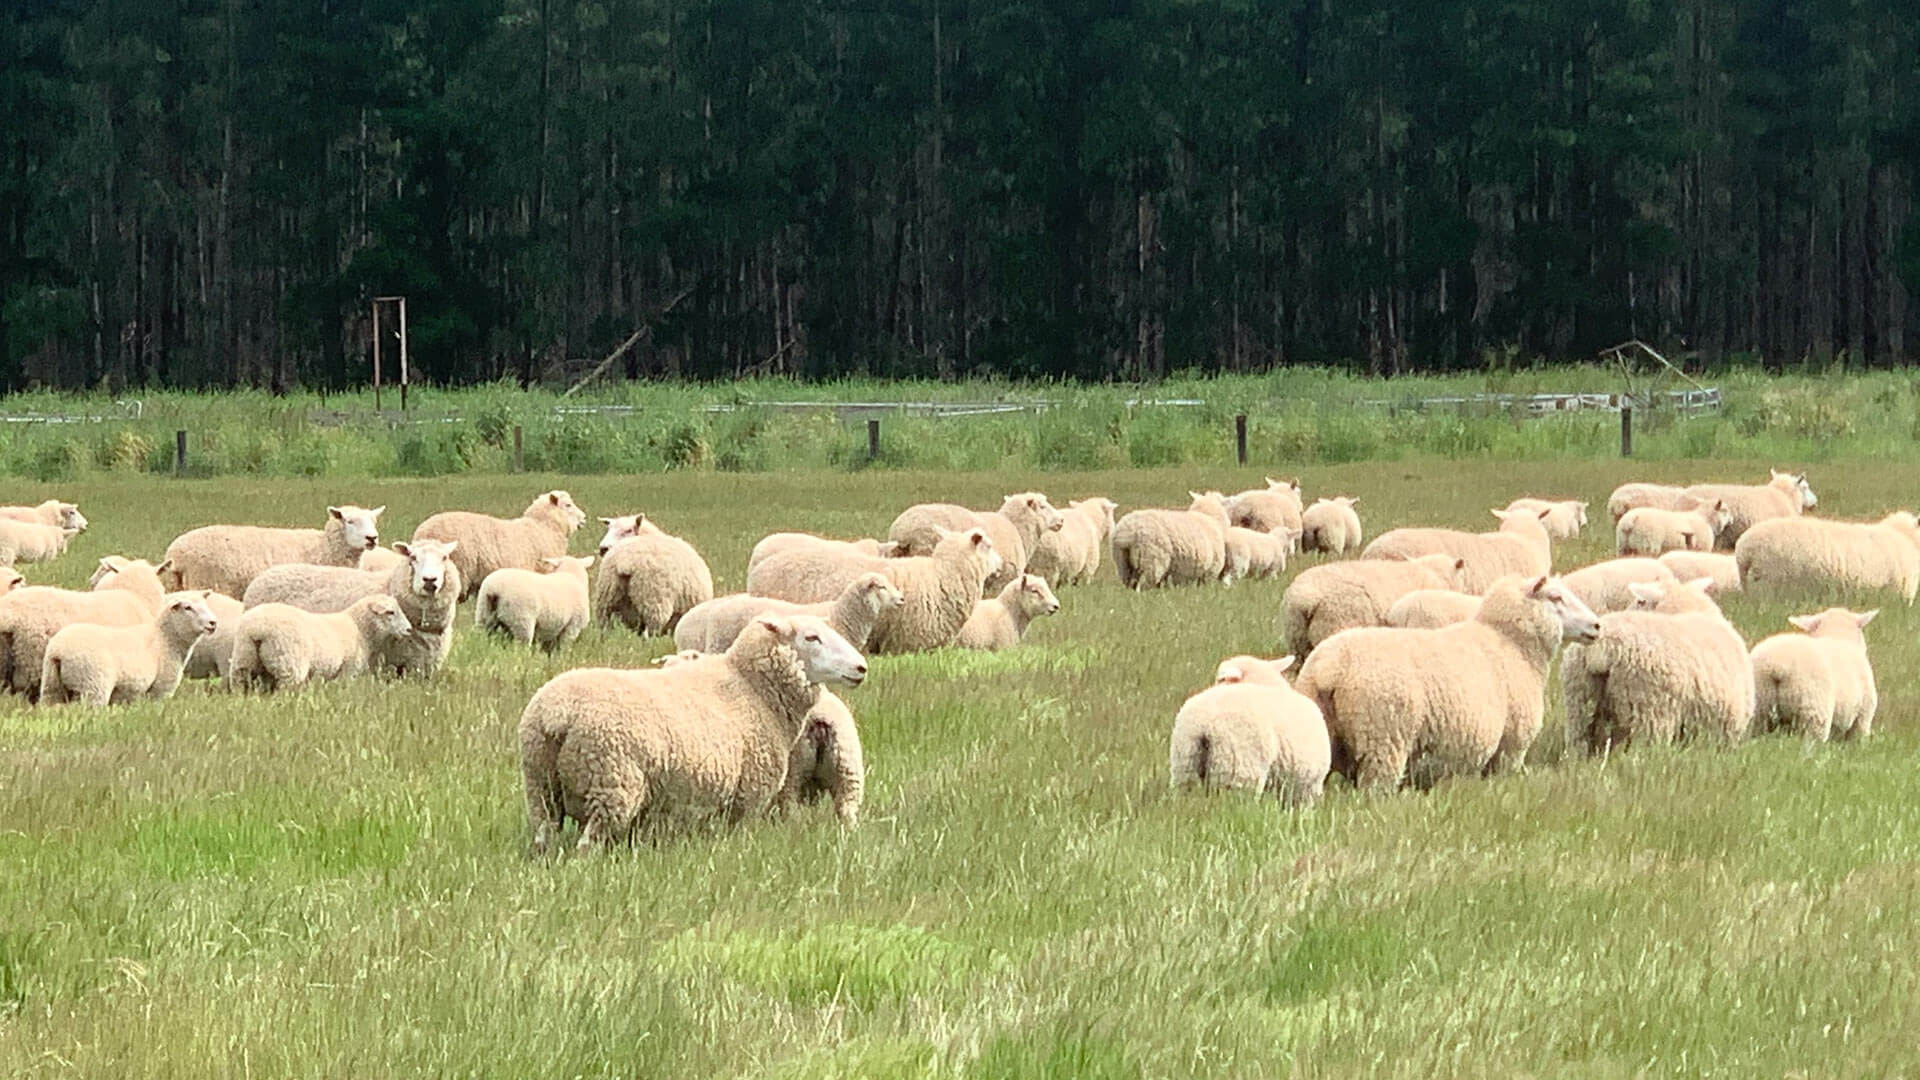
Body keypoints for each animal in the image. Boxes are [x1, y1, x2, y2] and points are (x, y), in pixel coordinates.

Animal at [40, 591, 220, 706]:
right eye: (187, 608)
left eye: (205, 604)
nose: (213, 623)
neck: (166, 639)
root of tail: (59, 652)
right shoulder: (161, 690)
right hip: (93, 687)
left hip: (51, 687)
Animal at [162, 505, 384, 597]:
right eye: (349, 521)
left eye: (373, 521)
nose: (372, 538)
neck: (324, 546)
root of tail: (175, 554)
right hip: (208, 583)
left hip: (174, 587)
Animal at [225, 595, 421, 693]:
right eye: (390, 612)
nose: (409, 629)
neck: (359, 628)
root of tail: (258, 629)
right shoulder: (348, 671)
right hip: (289, 665)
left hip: (244, 661)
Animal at [518, 613, 868, 850]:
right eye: (811, 638)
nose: (861, 668)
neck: (752, 687)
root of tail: (558, 715)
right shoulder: (747, 797)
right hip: (612, 783)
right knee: (587, 845)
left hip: (541, 784)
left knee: (543, 836)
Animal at [1292, 575, 1600, 790]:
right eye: (1556, 597)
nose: (1597, 625)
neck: (1513, 644)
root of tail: (1329, 668)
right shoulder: (1511, 747)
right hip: (1383, 740)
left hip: (1324, 738)